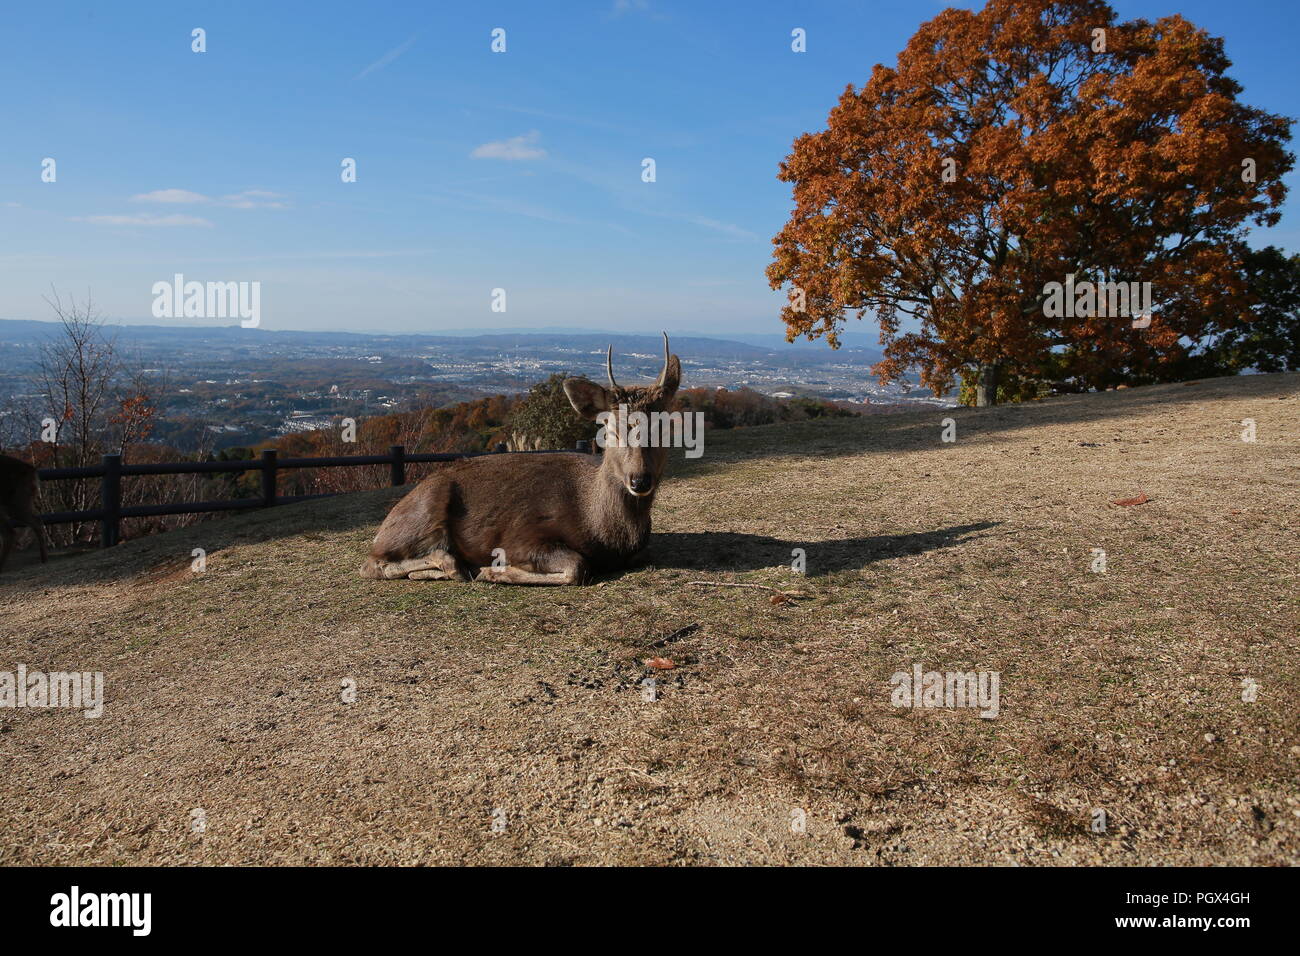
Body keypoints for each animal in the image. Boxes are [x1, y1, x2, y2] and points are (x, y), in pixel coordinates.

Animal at [360, 334, 682, 586]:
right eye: (609, 428)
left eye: (665, 425)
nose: (639, 480)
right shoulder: (520, 535)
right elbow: (577, 566)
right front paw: (491, 571)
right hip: (422, 515)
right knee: (373, 563)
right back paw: (454, 564)